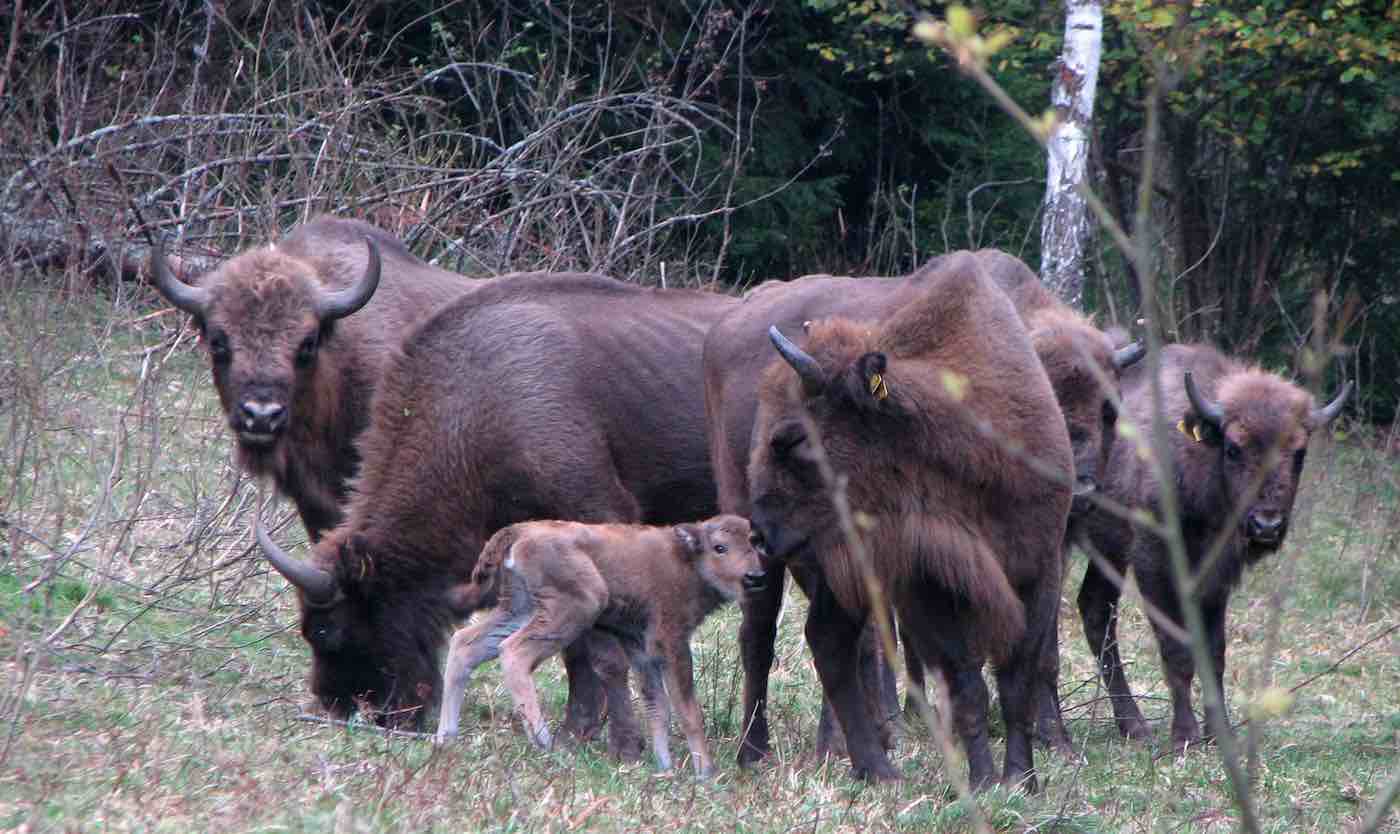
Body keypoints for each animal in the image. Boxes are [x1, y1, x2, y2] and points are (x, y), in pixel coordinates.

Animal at [255, 273, 738, 753]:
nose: (339, 708)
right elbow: (576, 649)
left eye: (325, 629)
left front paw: (619, 745)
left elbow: (602, 652)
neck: (477, 407)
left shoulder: (599, 521)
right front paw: (578, 730)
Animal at [1077, 343, 1349, 751]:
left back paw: (1133, 726)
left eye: (1299, 453)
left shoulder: (1216, 576)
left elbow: (1214, 651)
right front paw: (1185, 736)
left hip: (1105, 550)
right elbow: (1177, 648)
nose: (1266, 525)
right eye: (1234, 448)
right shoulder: (1154, 564)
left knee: (1094, 609)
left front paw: (1220, 734)